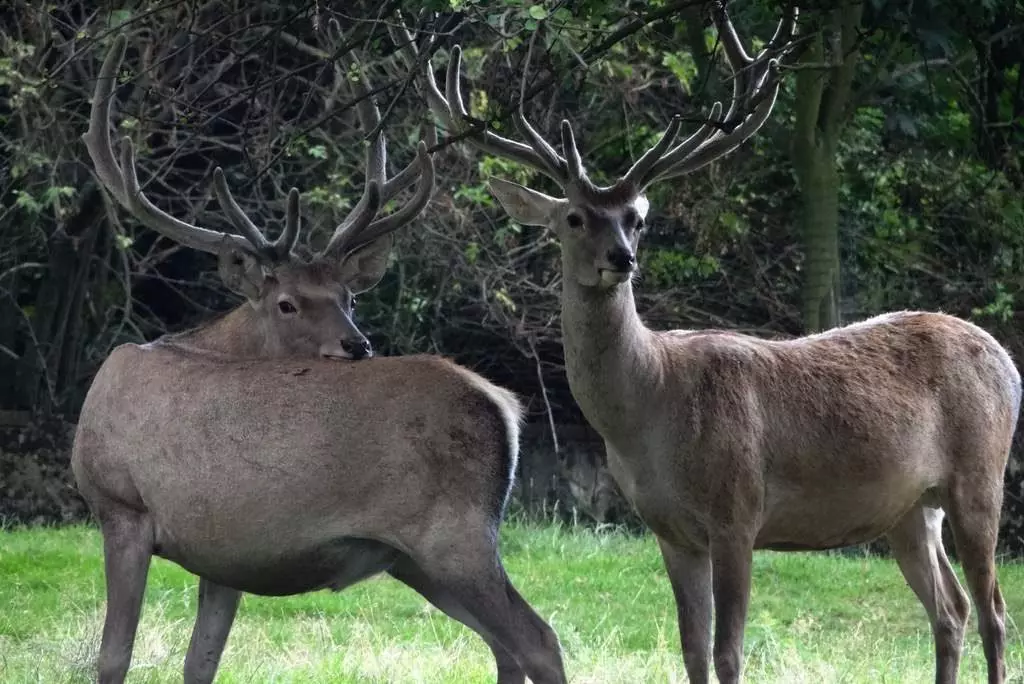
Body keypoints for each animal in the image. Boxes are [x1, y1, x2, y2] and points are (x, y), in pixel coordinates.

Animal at [72, 33, 569, 684]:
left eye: (350, 297)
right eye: (287, 303)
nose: (357, 344)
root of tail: (503, 405)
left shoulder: (122, 505)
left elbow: (113, 657)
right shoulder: (222, 549)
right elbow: (199, 662)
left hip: (454, 537)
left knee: (538, 638)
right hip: (417, 558)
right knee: (504, 646)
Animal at [417, 5, 1024, 684]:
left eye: (637, 218)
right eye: (574, 217)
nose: (621, 259)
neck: (650, 411)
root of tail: (1006, 360)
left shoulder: (739, 510)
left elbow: (729, 651)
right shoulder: (669, 530)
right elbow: (692, 648)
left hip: (980, 474)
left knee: (994, 612)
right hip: (911, 508)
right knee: (950, 609)